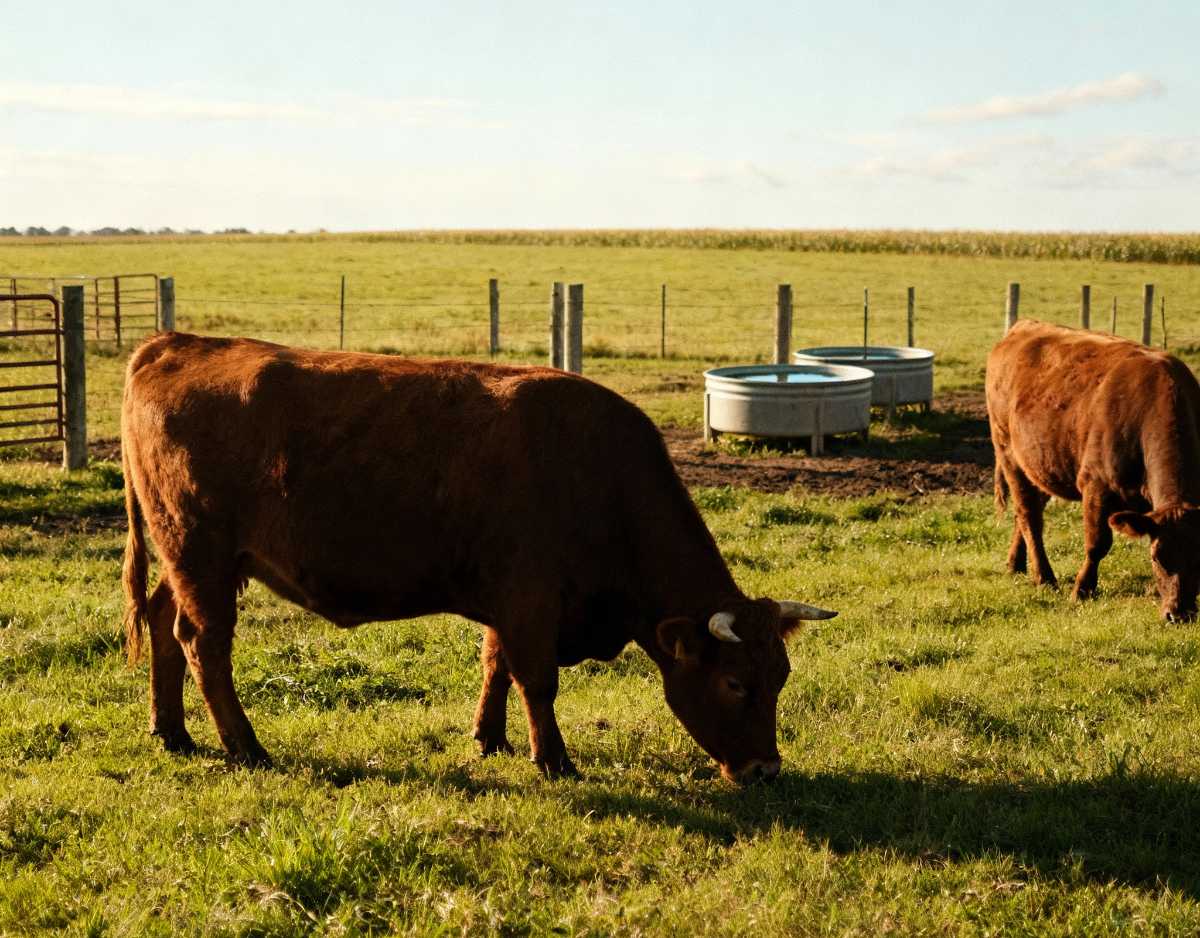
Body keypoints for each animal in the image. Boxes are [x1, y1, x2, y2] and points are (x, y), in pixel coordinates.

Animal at [121, 333, 837, 783]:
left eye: (781, 677)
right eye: (736, 682)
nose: (766, 771)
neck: (597, 475)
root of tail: (178, 343)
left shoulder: (507, 602)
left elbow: (495, 666)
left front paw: (490, 739)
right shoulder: (530, 601)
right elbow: (536, 681)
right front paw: (554, 761)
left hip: (192, 562)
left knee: (160, 622)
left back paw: (172, 732)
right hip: (202, 557)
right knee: (202, 643)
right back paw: (246, 747)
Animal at [986, 320, 1200, 621]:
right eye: (1157, 558)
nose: (1179, 614)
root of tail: (1024, 326)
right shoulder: (1096, 485)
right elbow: (1097, 543)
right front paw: (1082, 590)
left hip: (1043, 463)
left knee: (1027, 511)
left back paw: (1015, 564)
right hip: (1008, 453)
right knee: (1029, 516)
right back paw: (1044, 578)